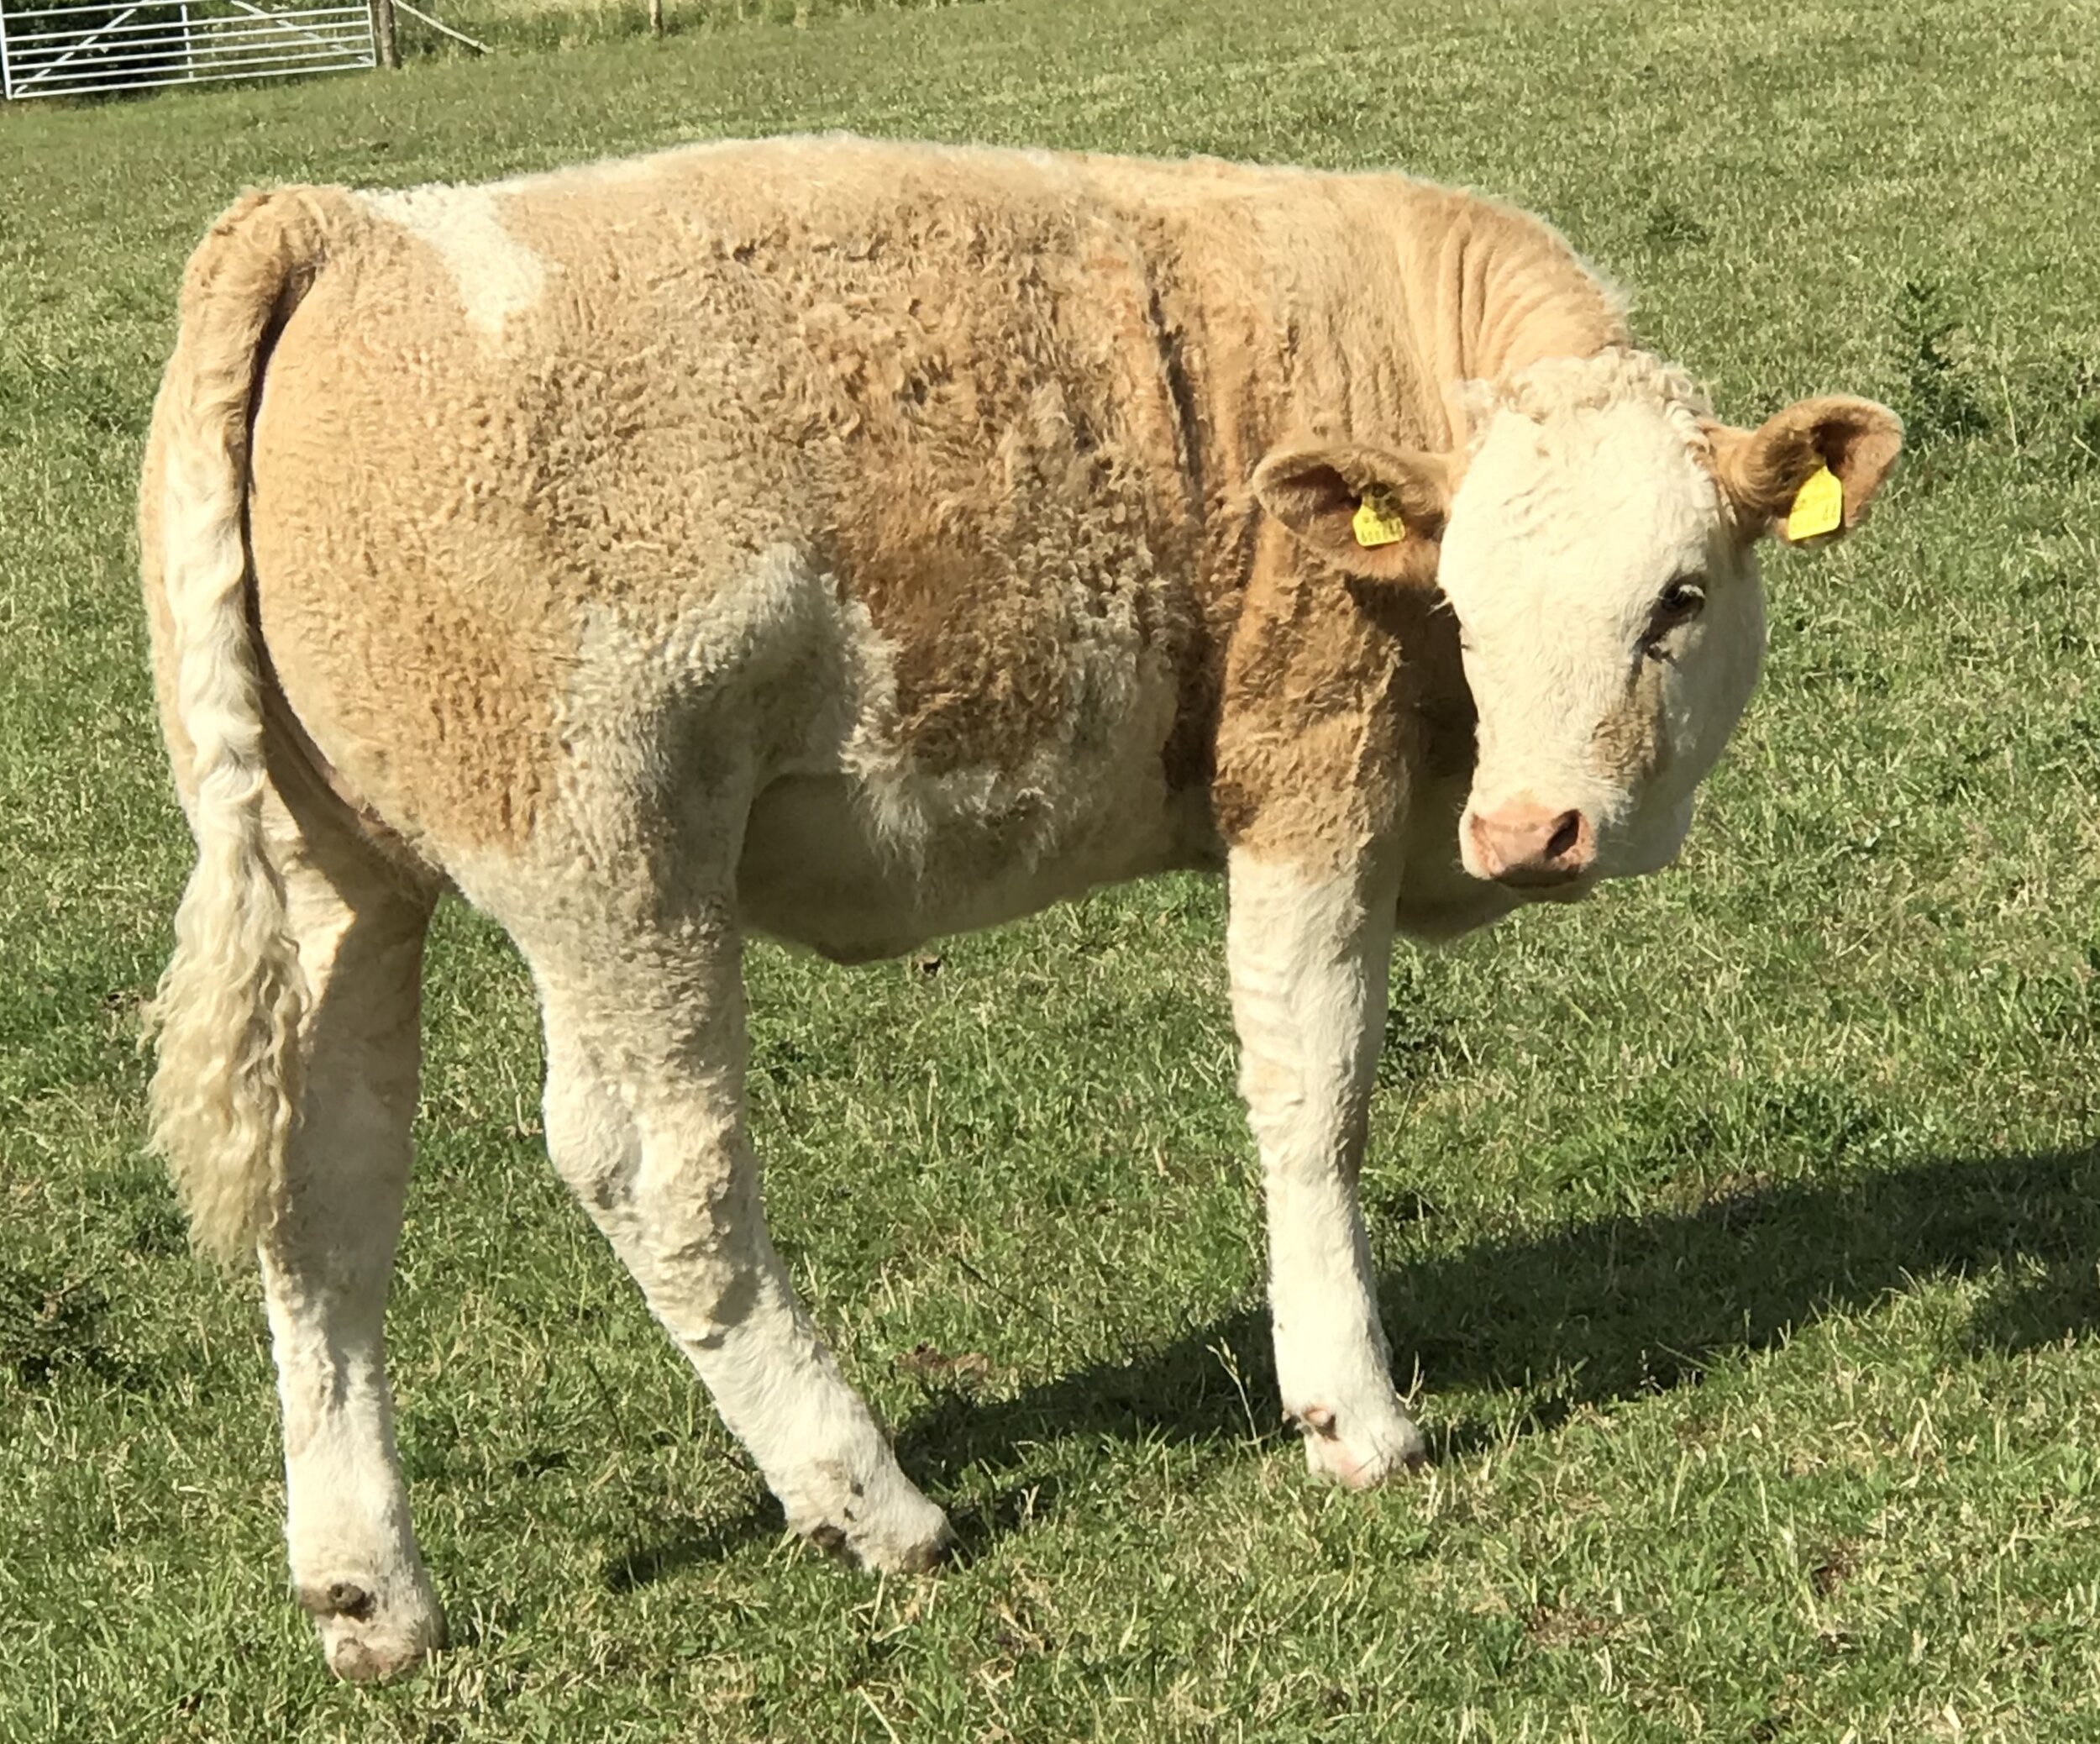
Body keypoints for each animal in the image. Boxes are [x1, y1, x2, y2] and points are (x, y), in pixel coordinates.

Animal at [139, 135, 1901, 1680]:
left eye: (1678, 599)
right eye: (1458, 603)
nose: (1530, 828)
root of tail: (345, 224)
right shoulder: (1310, 759)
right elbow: (1312, 1088)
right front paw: (1353, 1411)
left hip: (339, 884)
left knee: (325, 1196)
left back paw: (369, 1589)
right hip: (614, 865)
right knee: (654, 1171)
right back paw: (874, 1502)